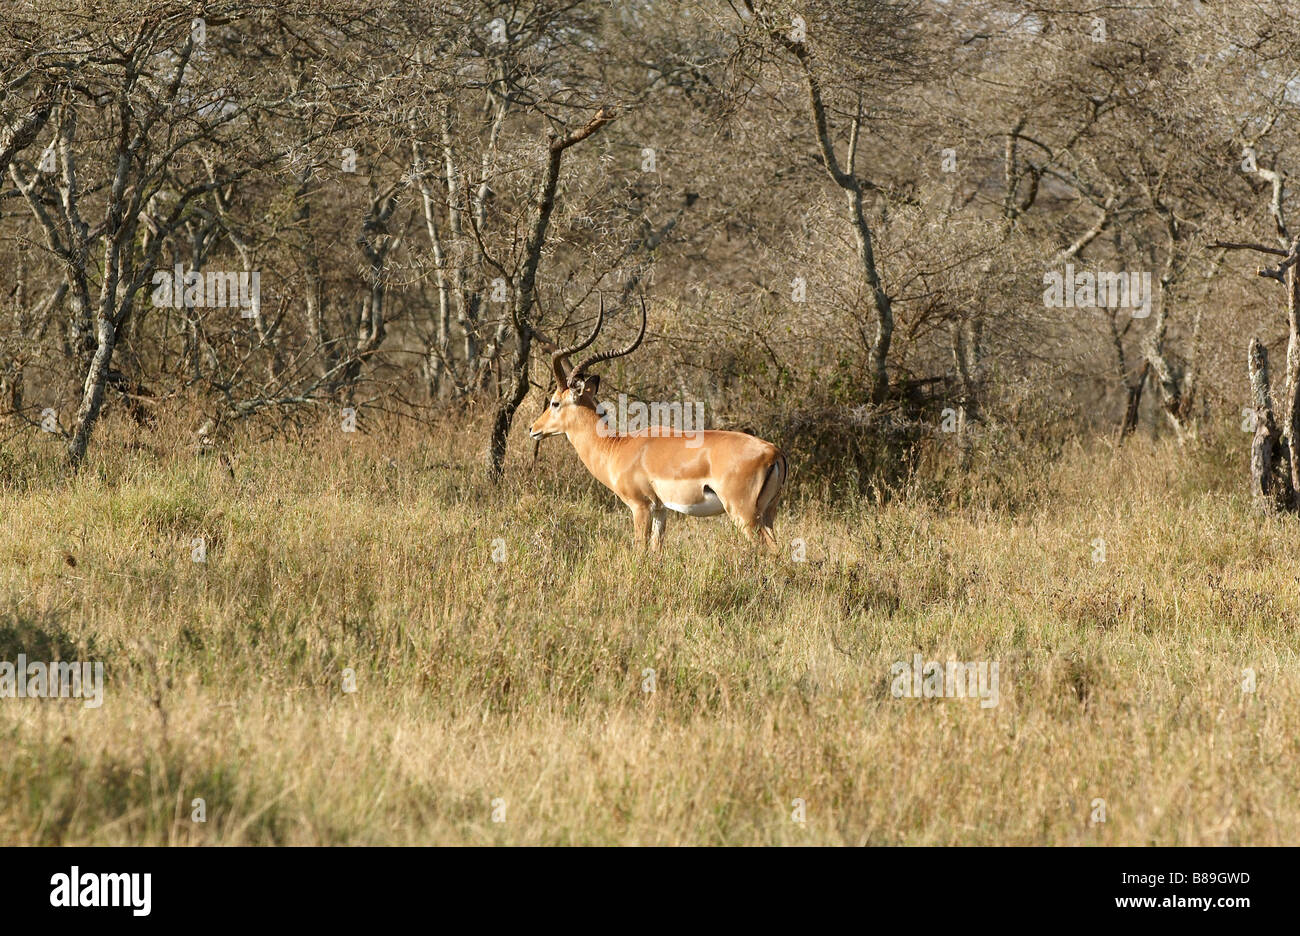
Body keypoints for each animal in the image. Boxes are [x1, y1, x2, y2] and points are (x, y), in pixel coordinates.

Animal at [529, 297, 788, 551]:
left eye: (554, 402)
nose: (533, 429)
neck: (617, 447)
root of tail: (774, 452)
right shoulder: (661, 510)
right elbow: (656, 550)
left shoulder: (640, 507)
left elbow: (640, 550)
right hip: (768, 513)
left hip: (743, 514)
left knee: (770, 551)